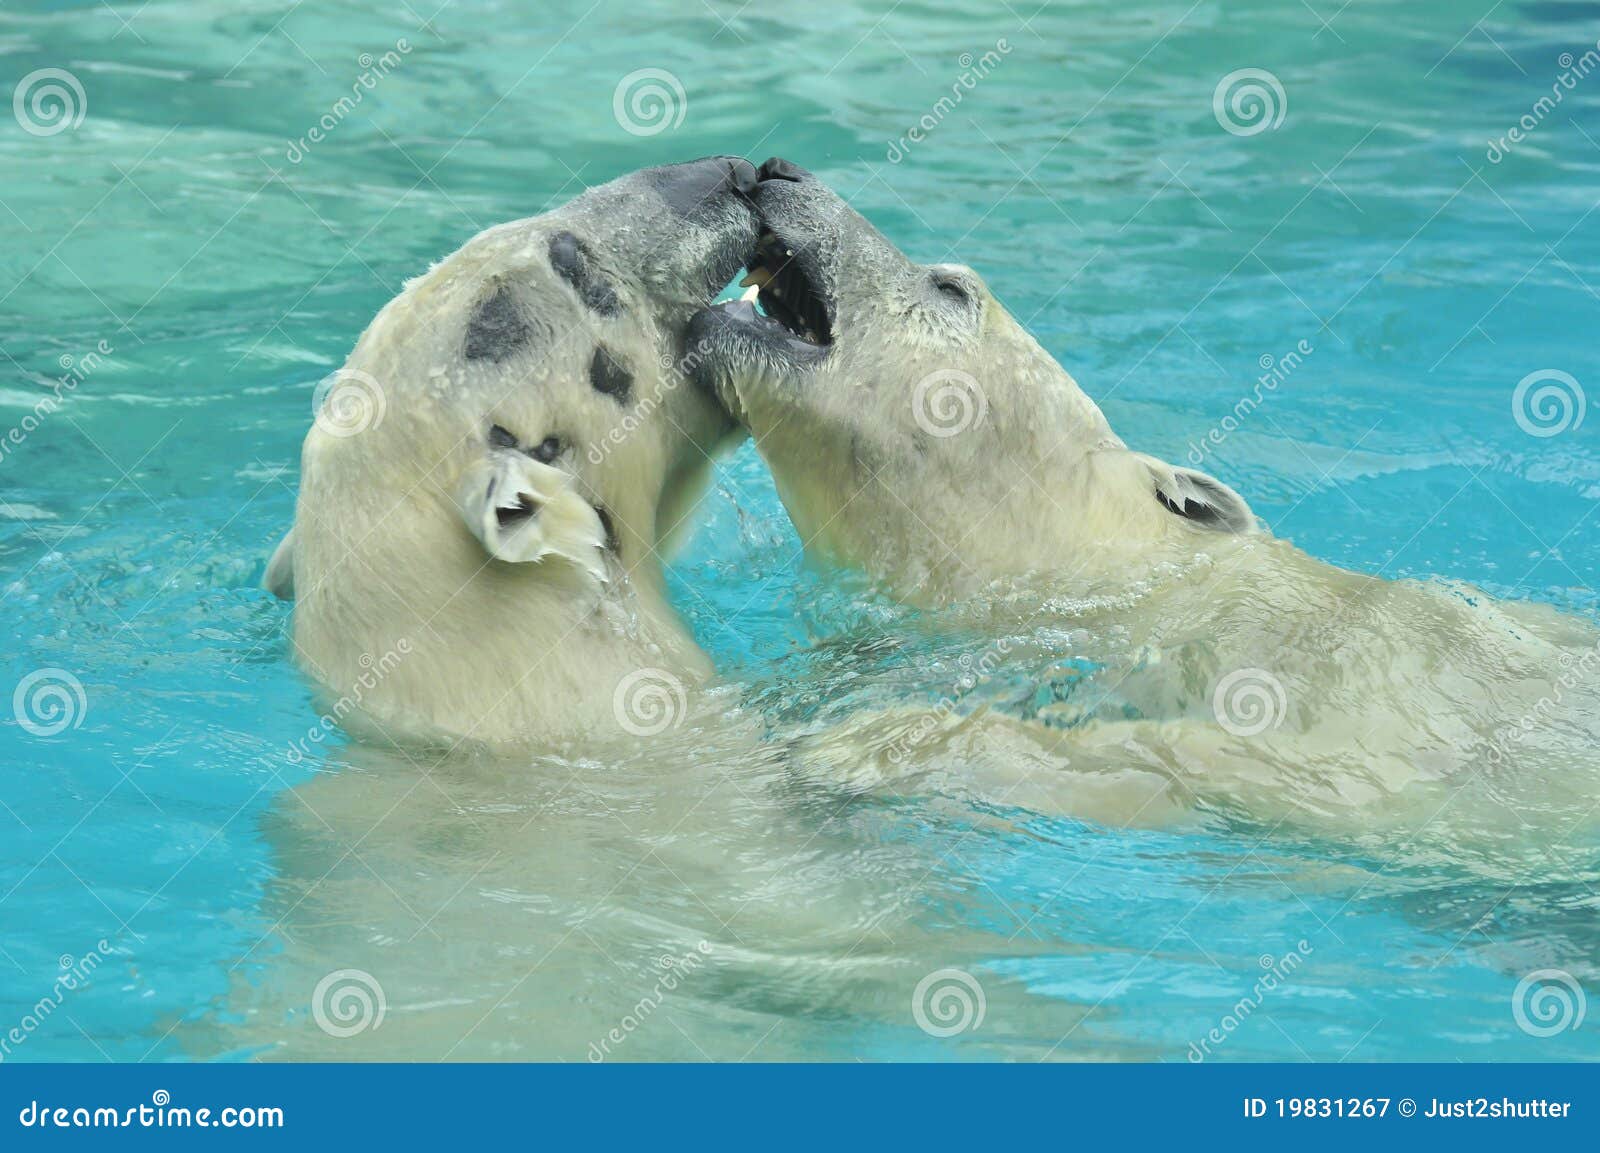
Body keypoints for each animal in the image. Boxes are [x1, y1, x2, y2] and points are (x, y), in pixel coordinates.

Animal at [685, 159, 1600, 855]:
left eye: (952, 286)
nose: (780, 170)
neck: (1138, 594)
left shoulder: (1366, 692)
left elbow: (1230, 767)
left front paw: (867, 742)